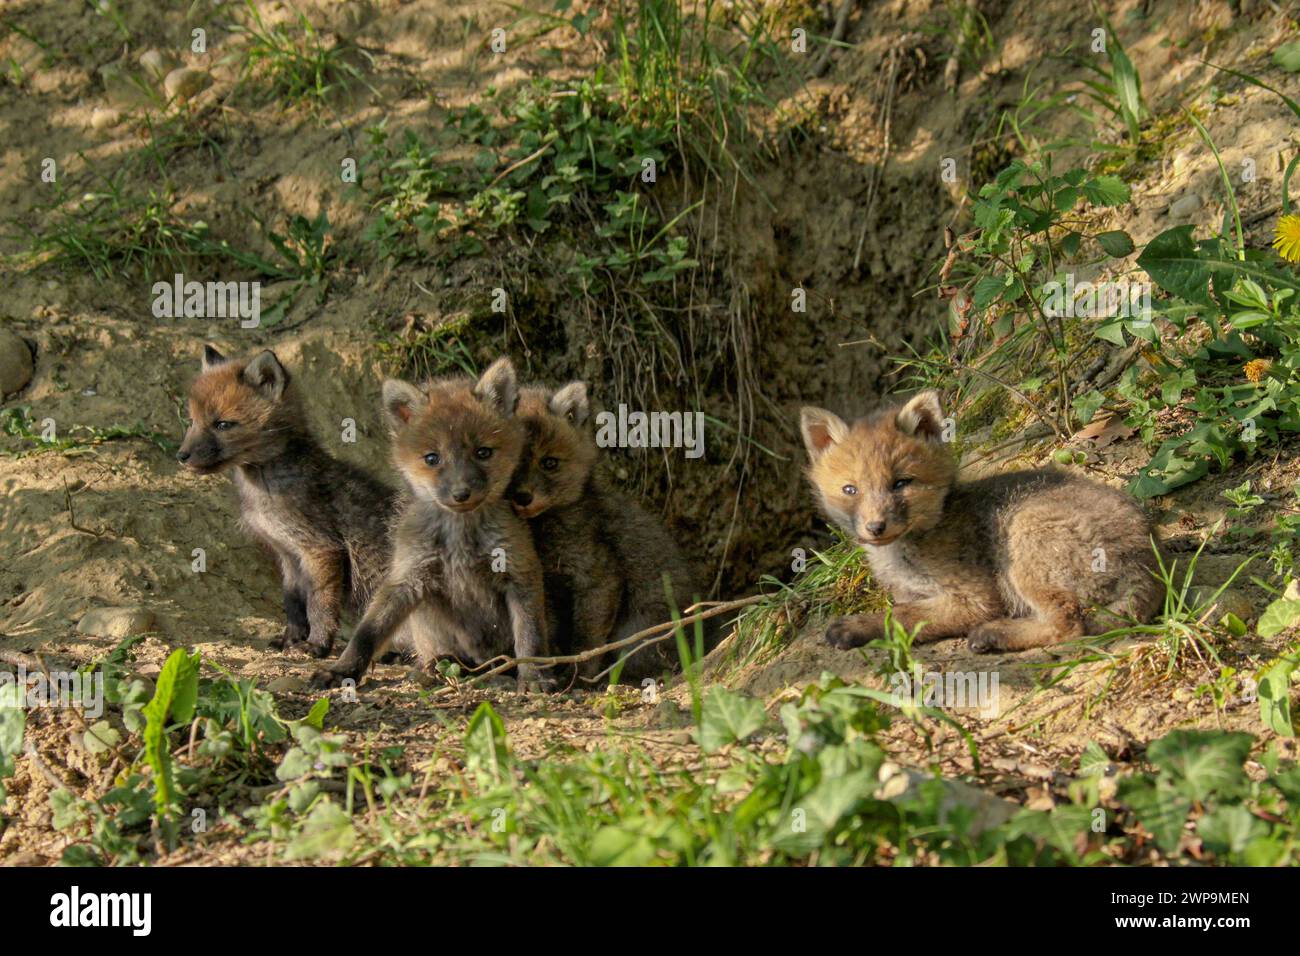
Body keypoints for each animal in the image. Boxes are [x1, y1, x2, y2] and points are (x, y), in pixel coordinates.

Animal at [177, 345, 400, 659]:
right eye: (192, 421)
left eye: (222, 424)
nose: (181, 456)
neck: (263, 488)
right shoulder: (288, 556)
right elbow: (293, 605)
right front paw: (290, 640)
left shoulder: (320, 549)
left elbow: (319, 605)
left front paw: (317, 645)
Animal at [315, 357, 551, 690]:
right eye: (432, 458)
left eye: (483, 452)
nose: (461, 493)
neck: (461, 537)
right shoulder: (409, 575)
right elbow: (367, 633)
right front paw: (342, 670)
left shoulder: (518, 570)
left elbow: (530, 636)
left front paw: (534, 676)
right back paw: (437, 666)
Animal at [508, 382, 700, 683]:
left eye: (549, 463)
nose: (523, 497)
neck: (544, 530)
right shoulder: (545, 585)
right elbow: (546, 632)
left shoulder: (599, 578)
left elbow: (587, 639)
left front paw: (581, 676)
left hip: (636, 631)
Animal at [799, 390, 1161, 653]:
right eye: (850, 490)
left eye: (901, 483)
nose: (876, 528)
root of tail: (1150, 562)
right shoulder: (916, 592)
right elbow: (905, 610)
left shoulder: (976, 598)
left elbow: (901, 615)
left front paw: (857, 626)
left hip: (1025, 546)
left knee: (1070, 626)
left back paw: (994, 634)